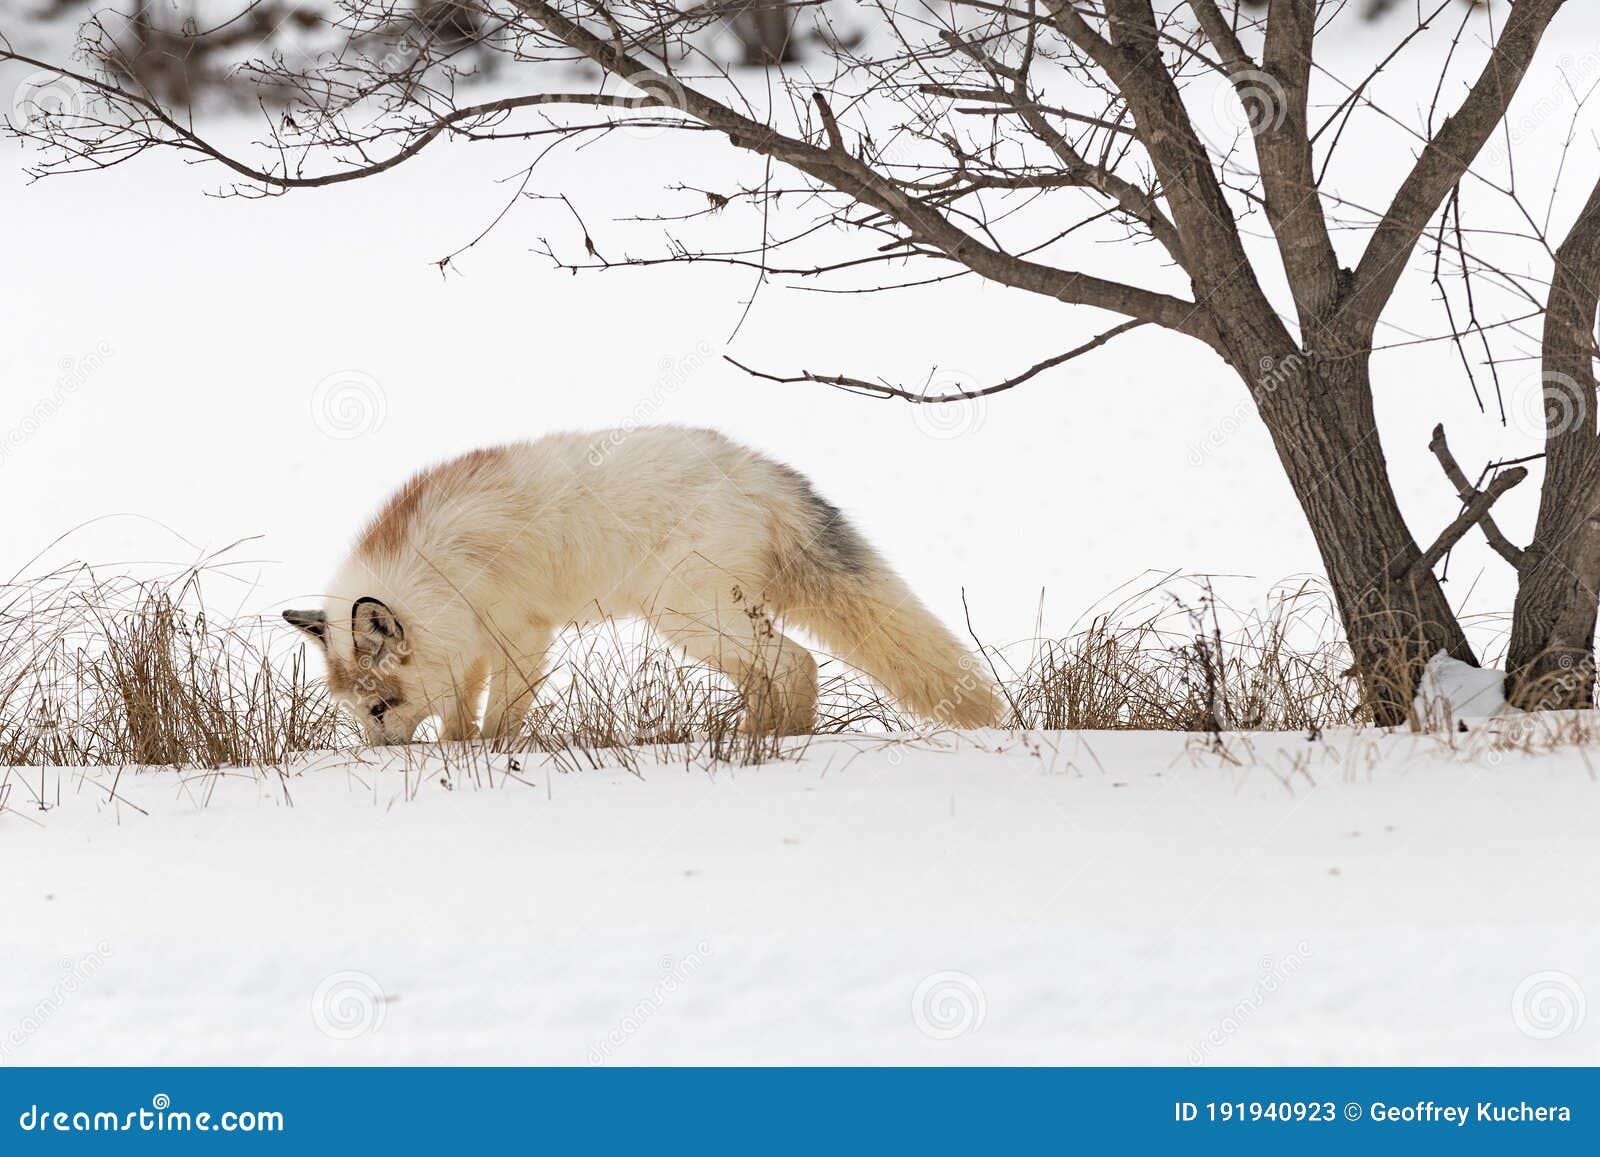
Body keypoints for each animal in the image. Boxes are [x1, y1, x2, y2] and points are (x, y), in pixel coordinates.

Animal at [283, 426, 1004, 744]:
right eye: (359, 714)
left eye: (380, 708)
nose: (383, 757)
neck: (433, 567)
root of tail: (762, 472)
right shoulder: (470, 647)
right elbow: (462, 717)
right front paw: (457, 755)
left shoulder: (521, 637)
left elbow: (496, 722)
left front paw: (486, 757)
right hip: (710, 624)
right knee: (773, 671)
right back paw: (750, 737)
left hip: (686, 615)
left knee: (795, 663)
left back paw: (774, 746)